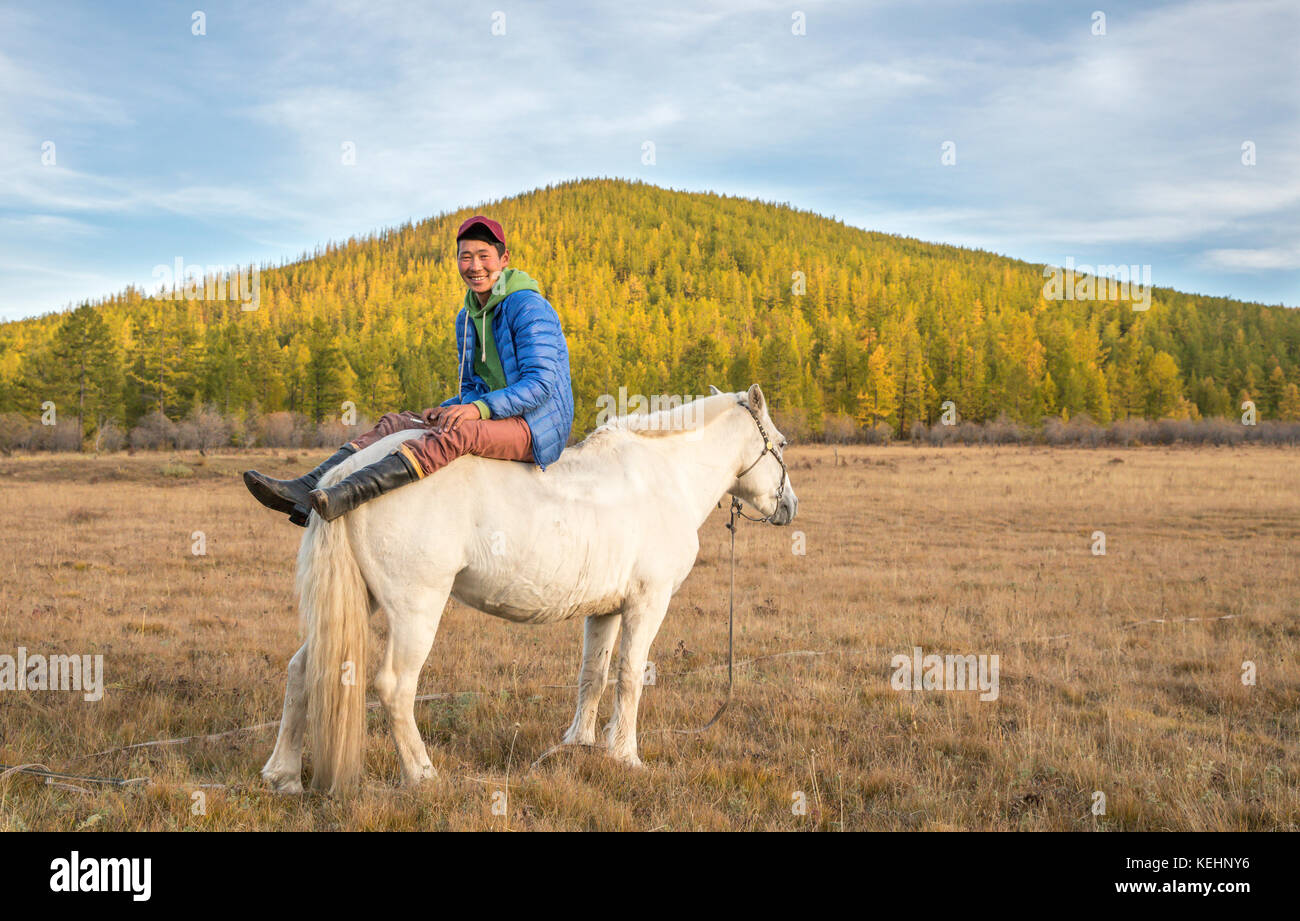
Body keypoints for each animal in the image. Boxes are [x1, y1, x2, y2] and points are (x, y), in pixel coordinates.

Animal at [261, 383, 798, 795]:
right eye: (782, 443)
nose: (789, 506)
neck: (665, 479)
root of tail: (339, 481)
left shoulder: (605, 610)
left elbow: (593, 675)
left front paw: (580, 743)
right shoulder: (648, 603)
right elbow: (629, 676)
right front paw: (625, 755)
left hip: (362, 601)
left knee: (302, 670)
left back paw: (282, 775)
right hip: (415, 610)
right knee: (394, 687)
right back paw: (421, 774)